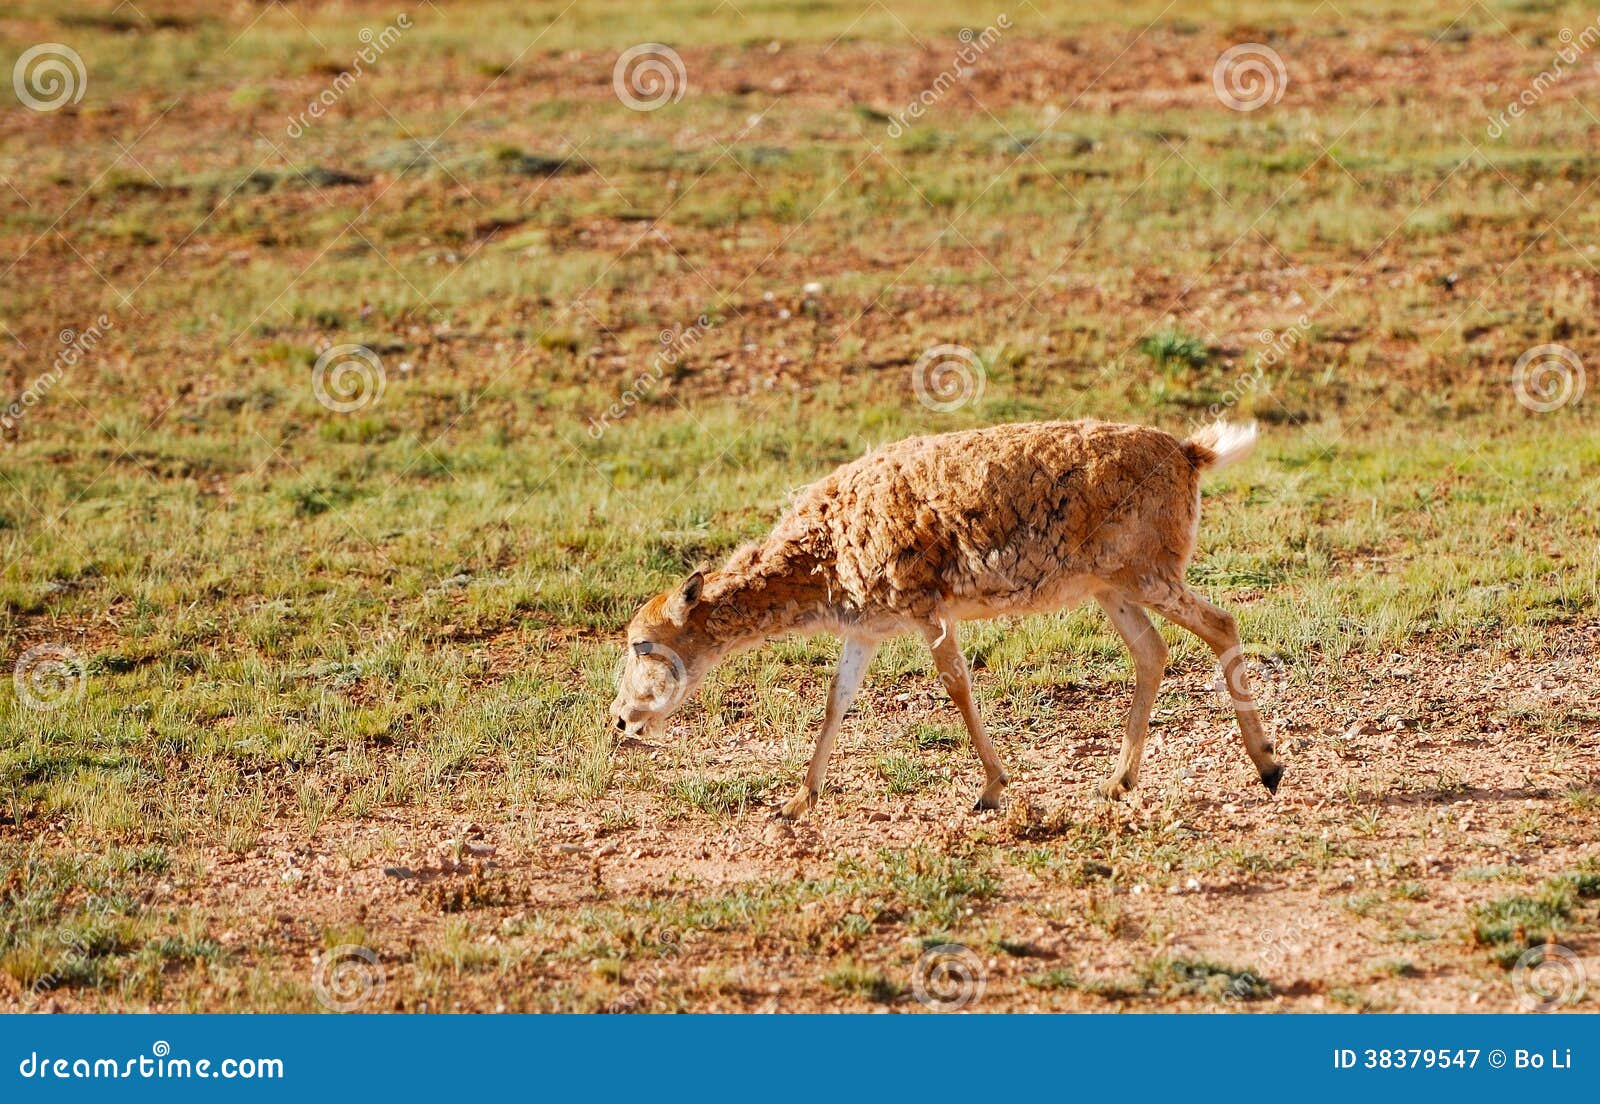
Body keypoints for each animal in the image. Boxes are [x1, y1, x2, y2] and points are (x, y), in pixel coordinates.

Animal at [611, 420, 1281, 819]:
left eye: (642, 643)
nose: (619, 718)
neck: (823, 553)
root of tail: (1192, 454)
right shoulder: (867, 629)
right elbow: (836, 699)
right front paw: (798, 800)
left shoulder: (926, 608)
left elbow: (957, 686)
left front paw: (991, 788)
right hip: (1110, 587)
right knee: (1152, 651)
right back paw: (1118, 781)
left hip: (1148, 576)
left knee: (1222, 624)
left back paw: (1269, 767)